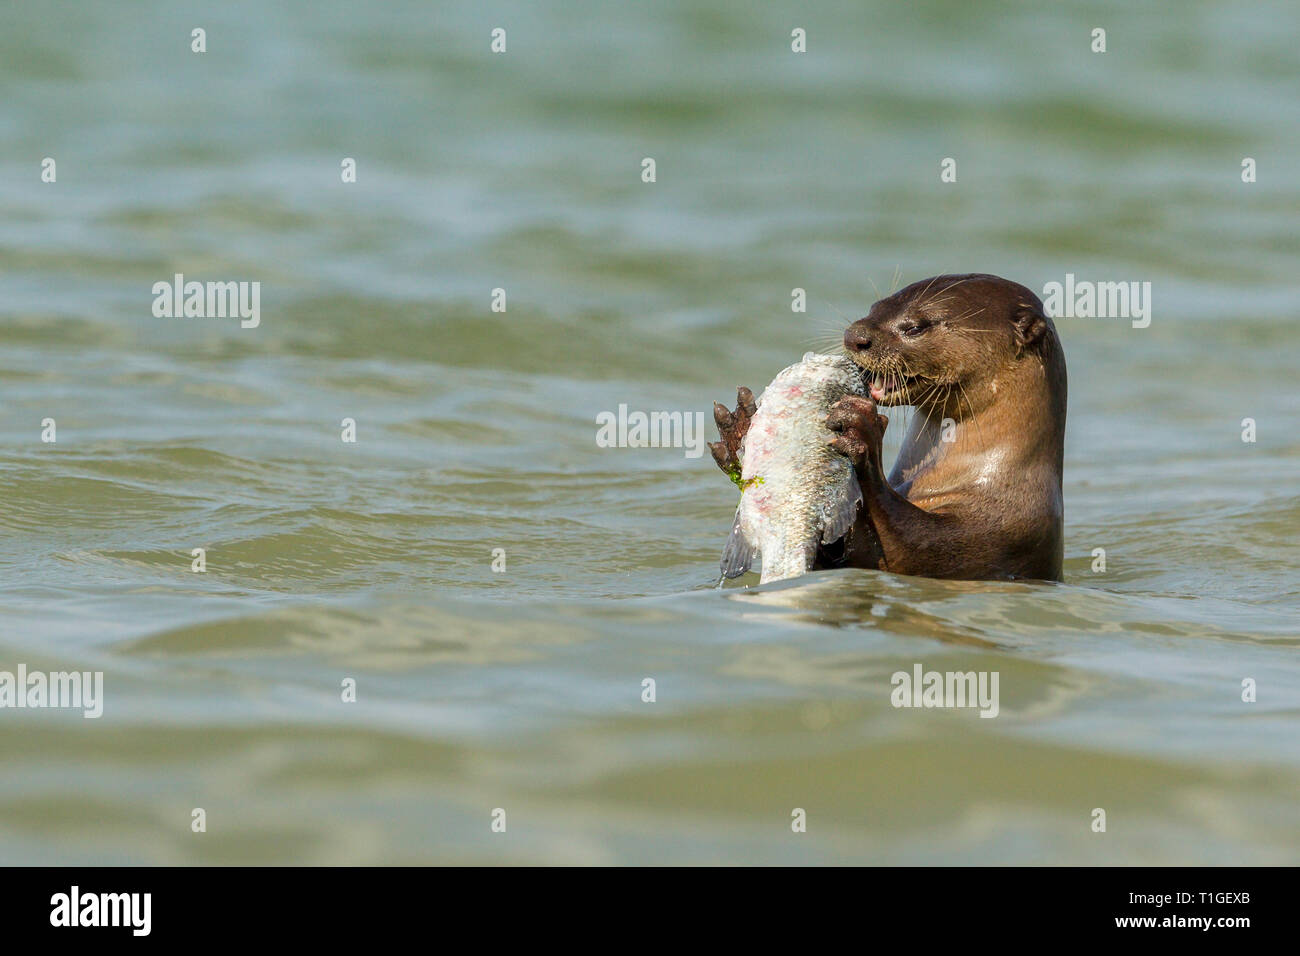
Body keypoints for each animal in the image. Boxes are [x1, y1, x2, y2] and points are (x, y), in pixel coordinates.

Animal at [710, 274, 1066, 581]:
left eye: (914, 327)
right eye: (874, 308)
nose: (854, 336)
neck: (994, 476)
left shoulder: (992, 539)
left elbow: (909, 543)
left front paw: (863, 434)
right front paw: (739, 431)